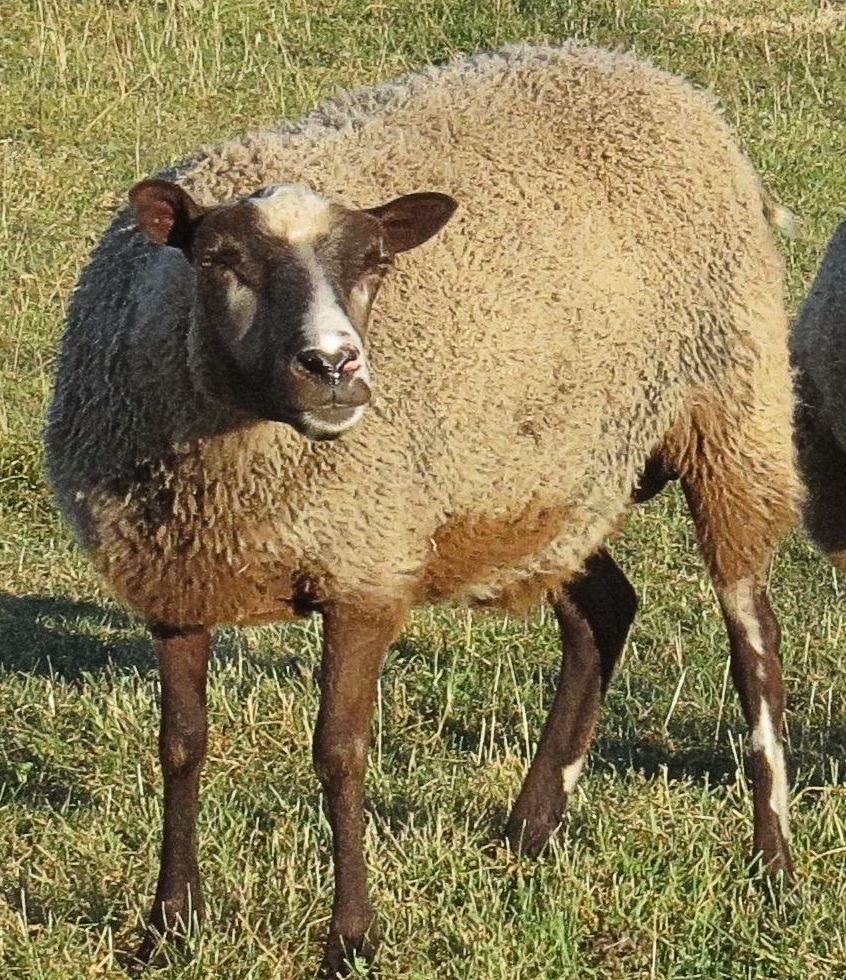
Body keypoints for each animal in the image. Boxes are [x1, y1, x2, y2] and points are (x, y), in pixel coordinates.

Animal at [45, 42, 800, 975]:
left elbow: (340, 753)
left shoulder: (365, 566)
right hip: (555, 479)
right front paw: (168, 926)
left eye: (375, 263)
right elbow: (181, 746)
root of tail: (655, 76)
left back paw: (775, 866)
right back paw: (528, 833)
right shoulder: (176, 580)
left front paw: (350, 939)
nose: (336, 367)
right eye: (218, 259)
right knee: (605, 610)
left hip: (732, 409)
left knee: (753, 639)